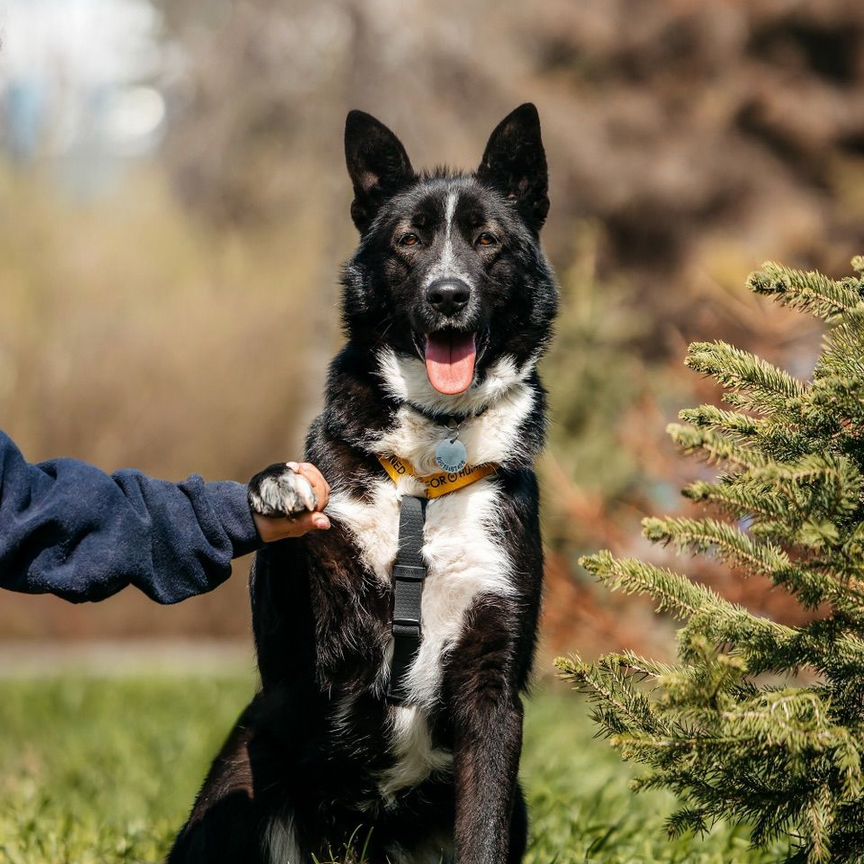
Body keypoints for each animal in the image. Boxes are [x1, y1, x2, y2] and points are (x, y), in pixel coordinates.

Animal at [169, 103, 560, 864]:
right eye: (408, 240)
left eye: (488, 240)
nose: (448, 295)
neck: (428, 466)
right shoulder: (309, 657)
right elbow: (306, 547)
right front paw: (277, 486)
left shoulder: (492, 686)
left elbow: (483, 831)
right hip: (235, 786)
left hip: (521, 802)